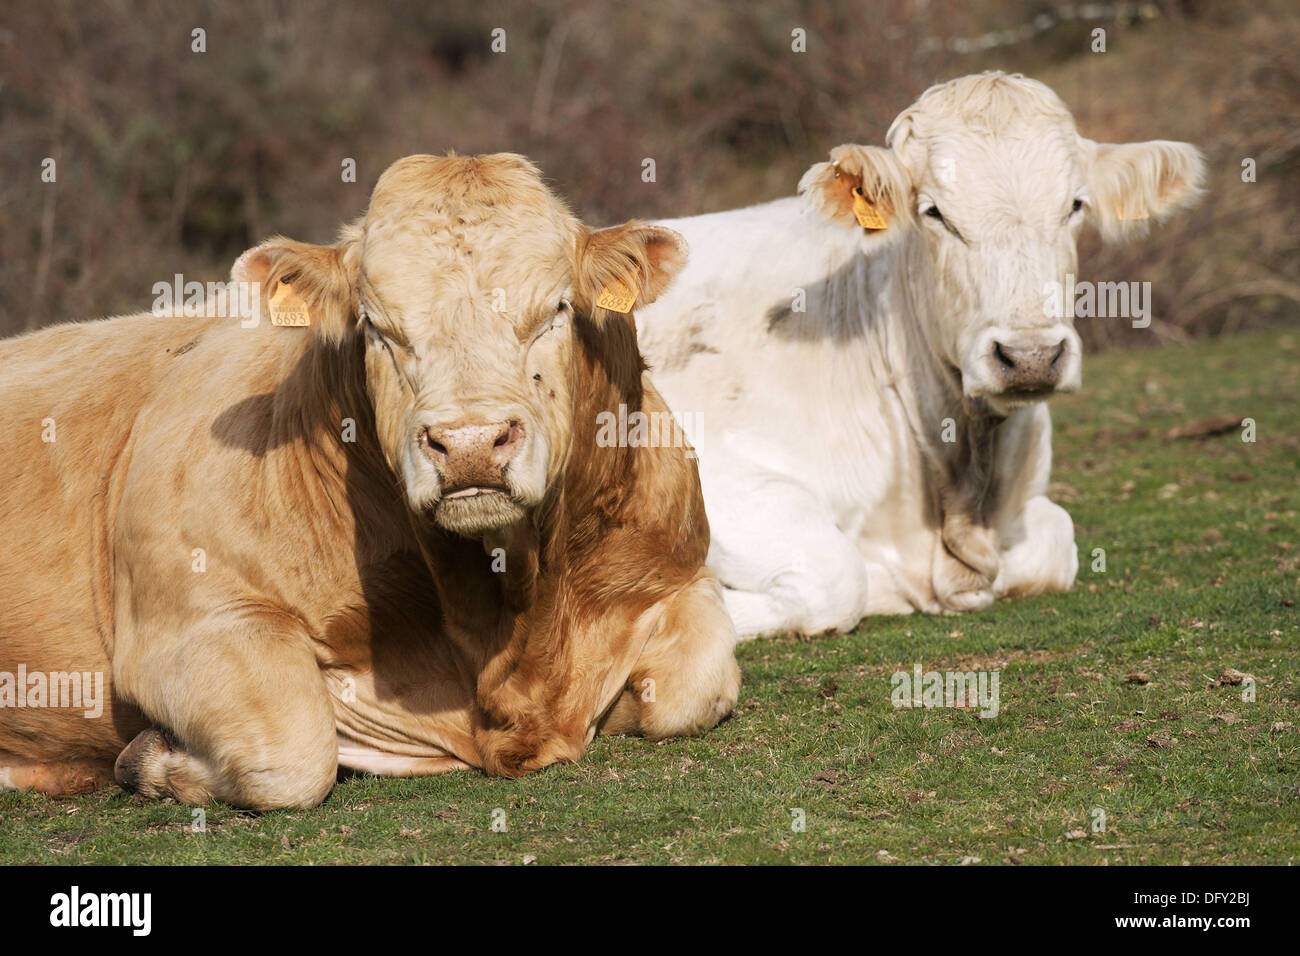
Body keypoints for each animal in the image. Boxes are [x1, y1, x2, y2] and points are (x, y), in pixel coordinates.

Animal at [0, 153, 740, 809]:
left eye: (556, 308)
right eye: (377, 326)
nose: (469, 445)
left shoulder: (677, 571)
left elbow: (701, 683)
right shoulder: (187, 621)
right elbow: (294, 750)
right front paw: (151, 761)